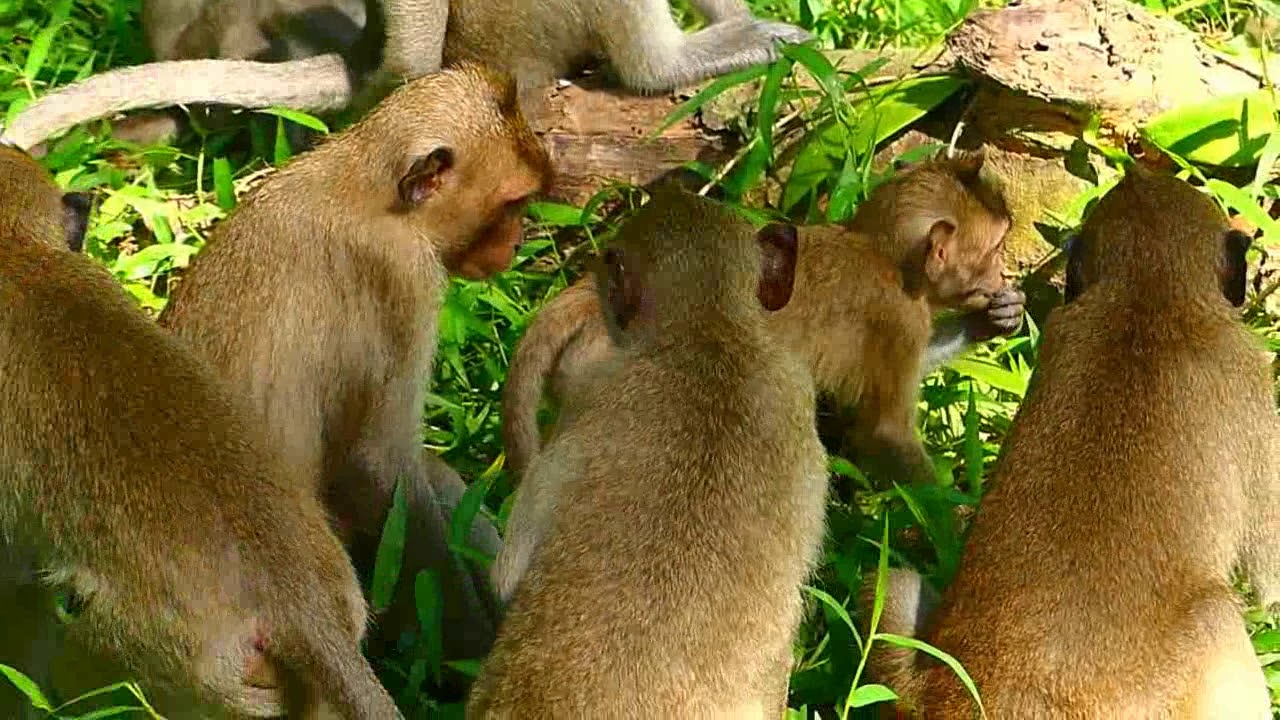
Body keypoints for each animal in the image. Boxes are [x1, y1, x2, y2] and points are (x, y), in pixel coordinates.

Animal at [151, 64, 552, 678]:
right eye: (513, 203)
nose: (517, 241)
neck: (362, 188)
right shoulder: (404, 277)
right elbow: (379, 471)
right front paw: (474, 653)